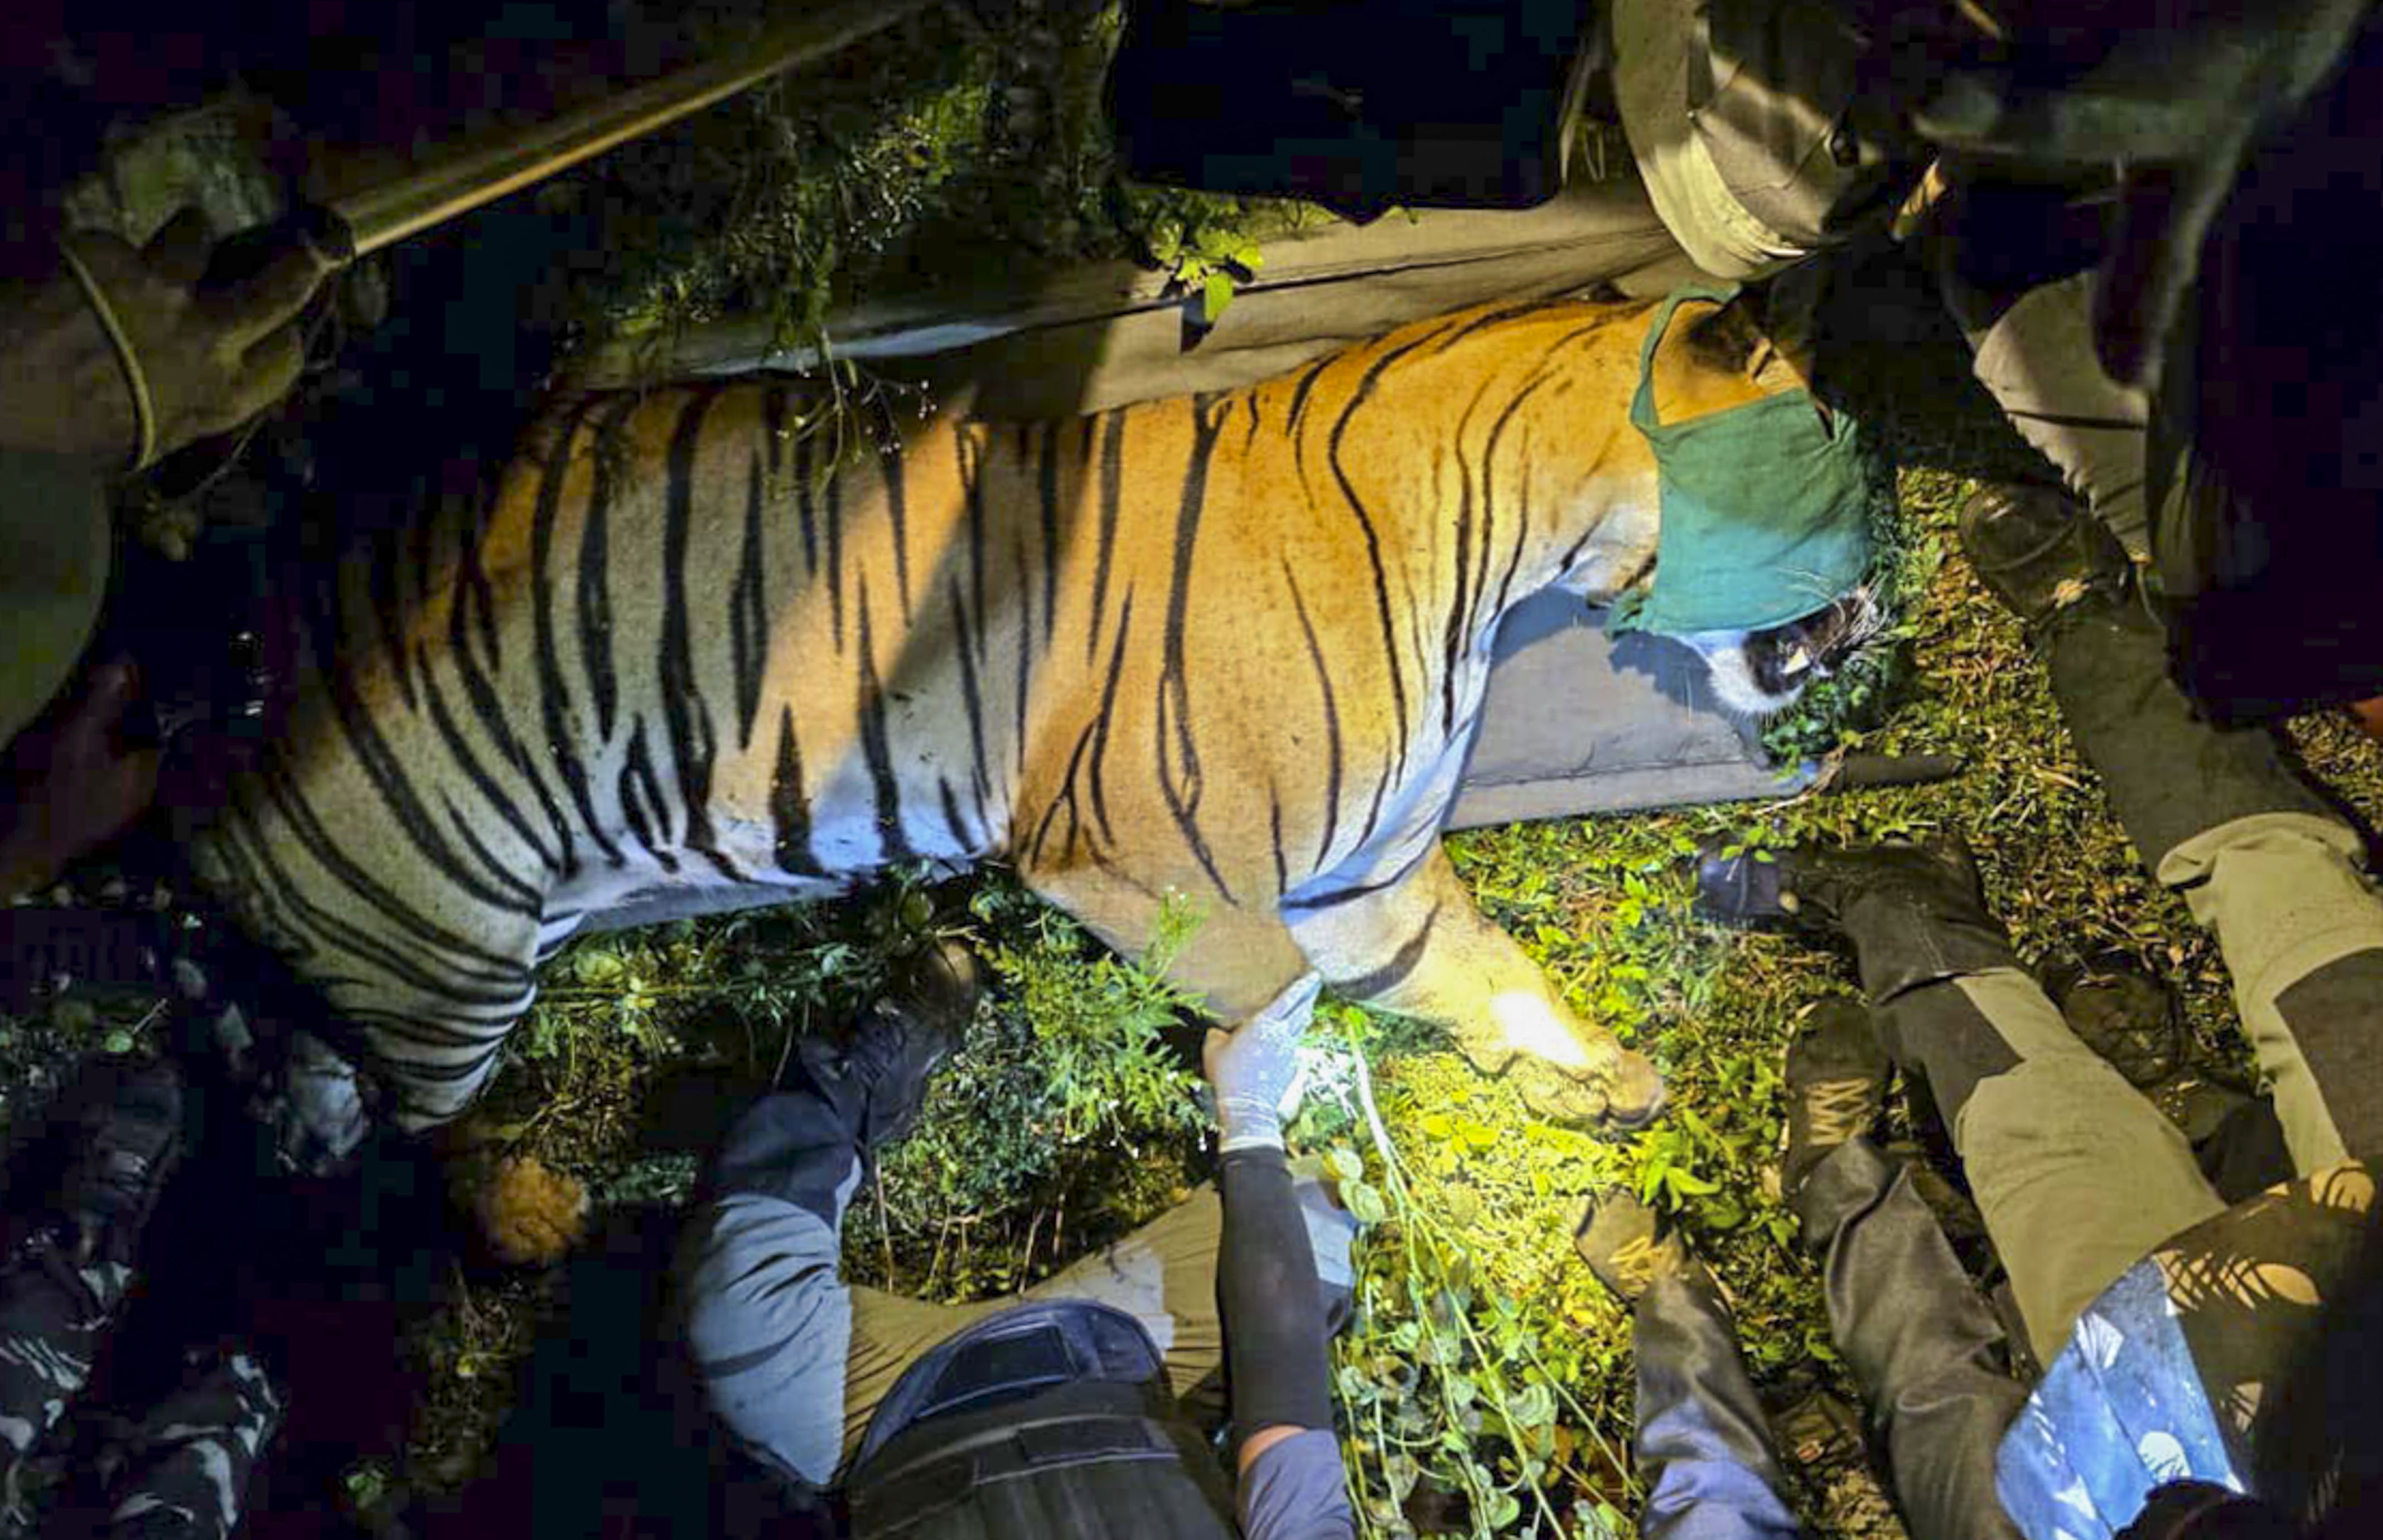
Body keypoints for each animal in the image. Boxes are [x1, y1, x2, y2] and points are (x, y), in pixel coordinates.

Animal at [189, 286, 1870, 1150]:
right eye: (1832, 448)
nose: (1876, 600)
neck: (1503, 551)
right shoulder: (1141, 863)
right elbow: (1275, 1000)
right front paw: (1265, 1122)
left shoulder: (1368, 877)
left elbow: (1486, 975)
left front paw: (1601, 1075)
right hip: (444, 975)